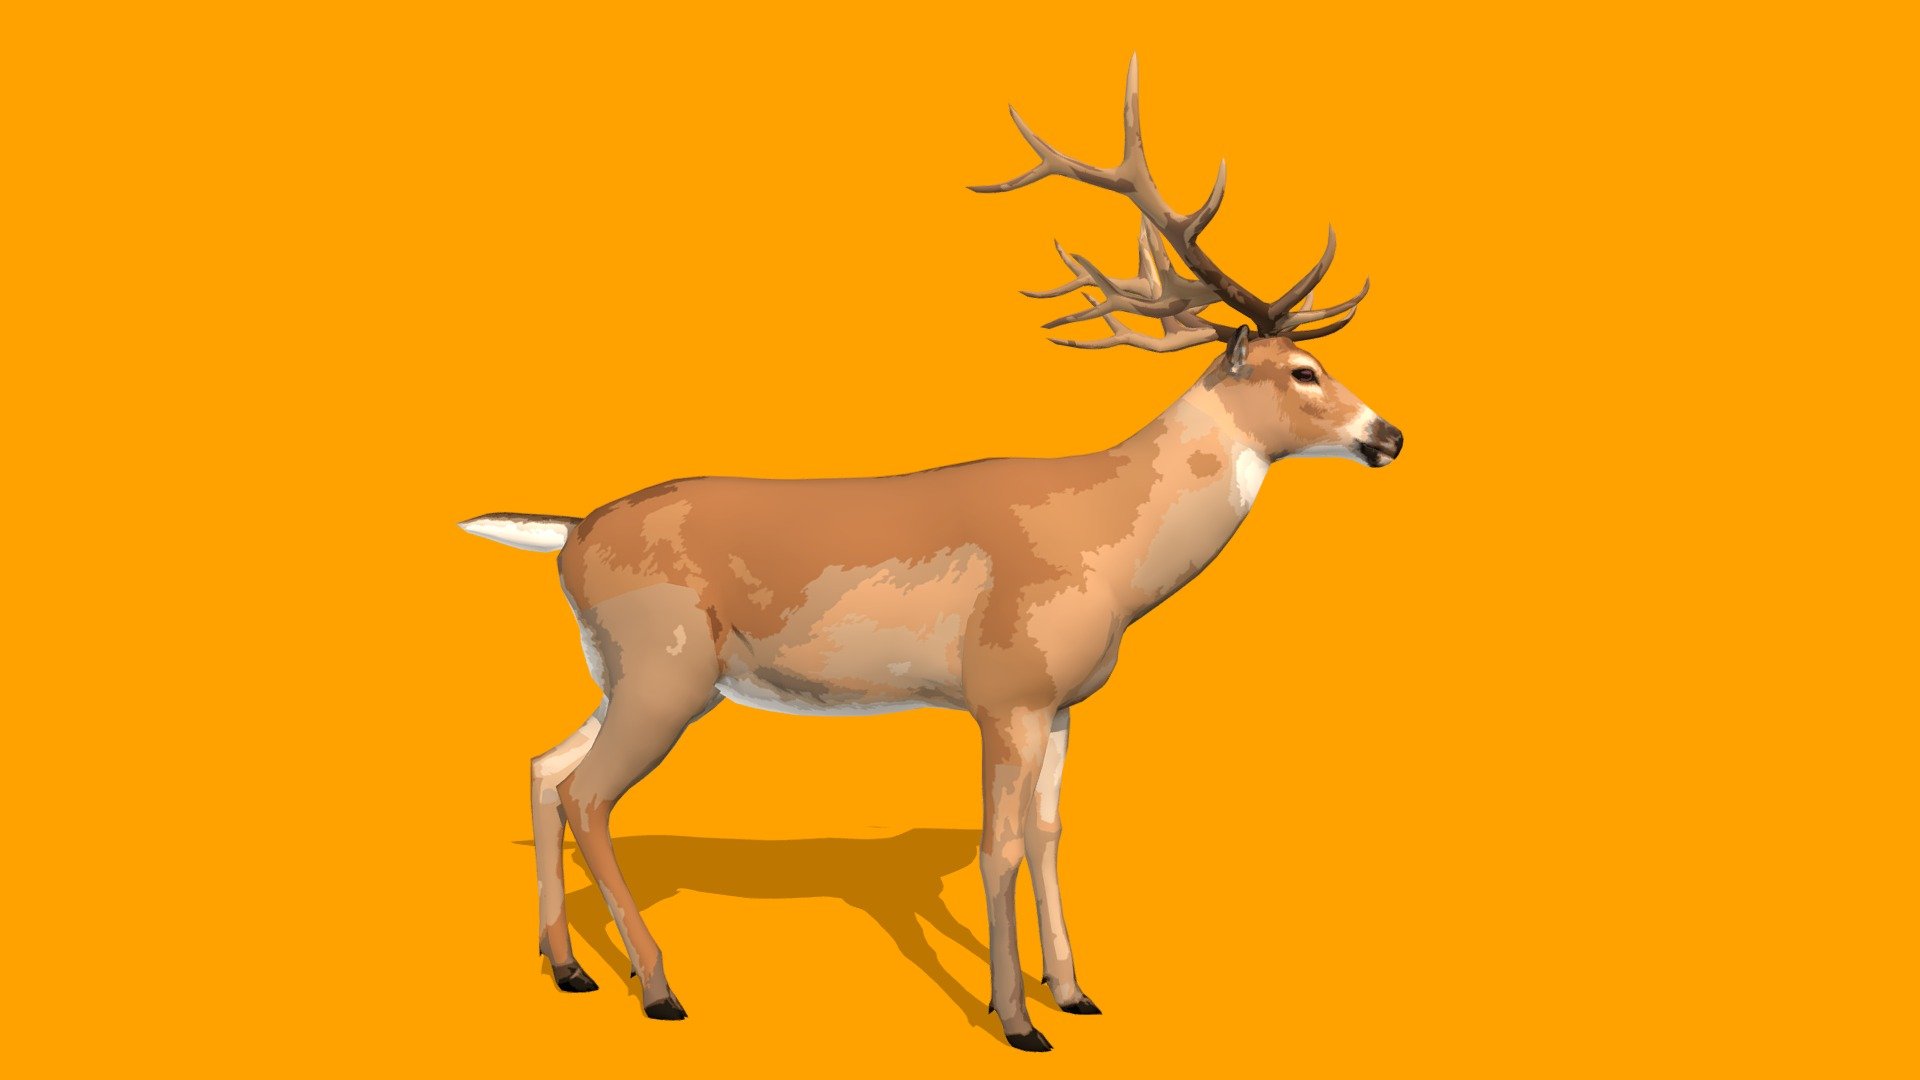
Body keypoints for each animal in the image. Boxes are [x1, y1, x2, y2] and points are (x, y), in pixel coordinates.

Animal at [459, 57, 1403, 1052]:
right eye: (1303, 370)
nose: (1390, 437)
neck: (1111, 538)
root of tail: (572, 530)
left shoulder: (1061, 707)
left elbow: (1049, 835)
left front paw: (1074, 991)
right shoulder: (1004, 692)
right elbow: (997, 848)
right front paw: (1018, 1018)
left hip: (624, 671)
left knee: (545, 768)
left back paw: (569, 968)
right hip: (665, 672)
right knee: (589, 794)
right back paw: (656, 985)